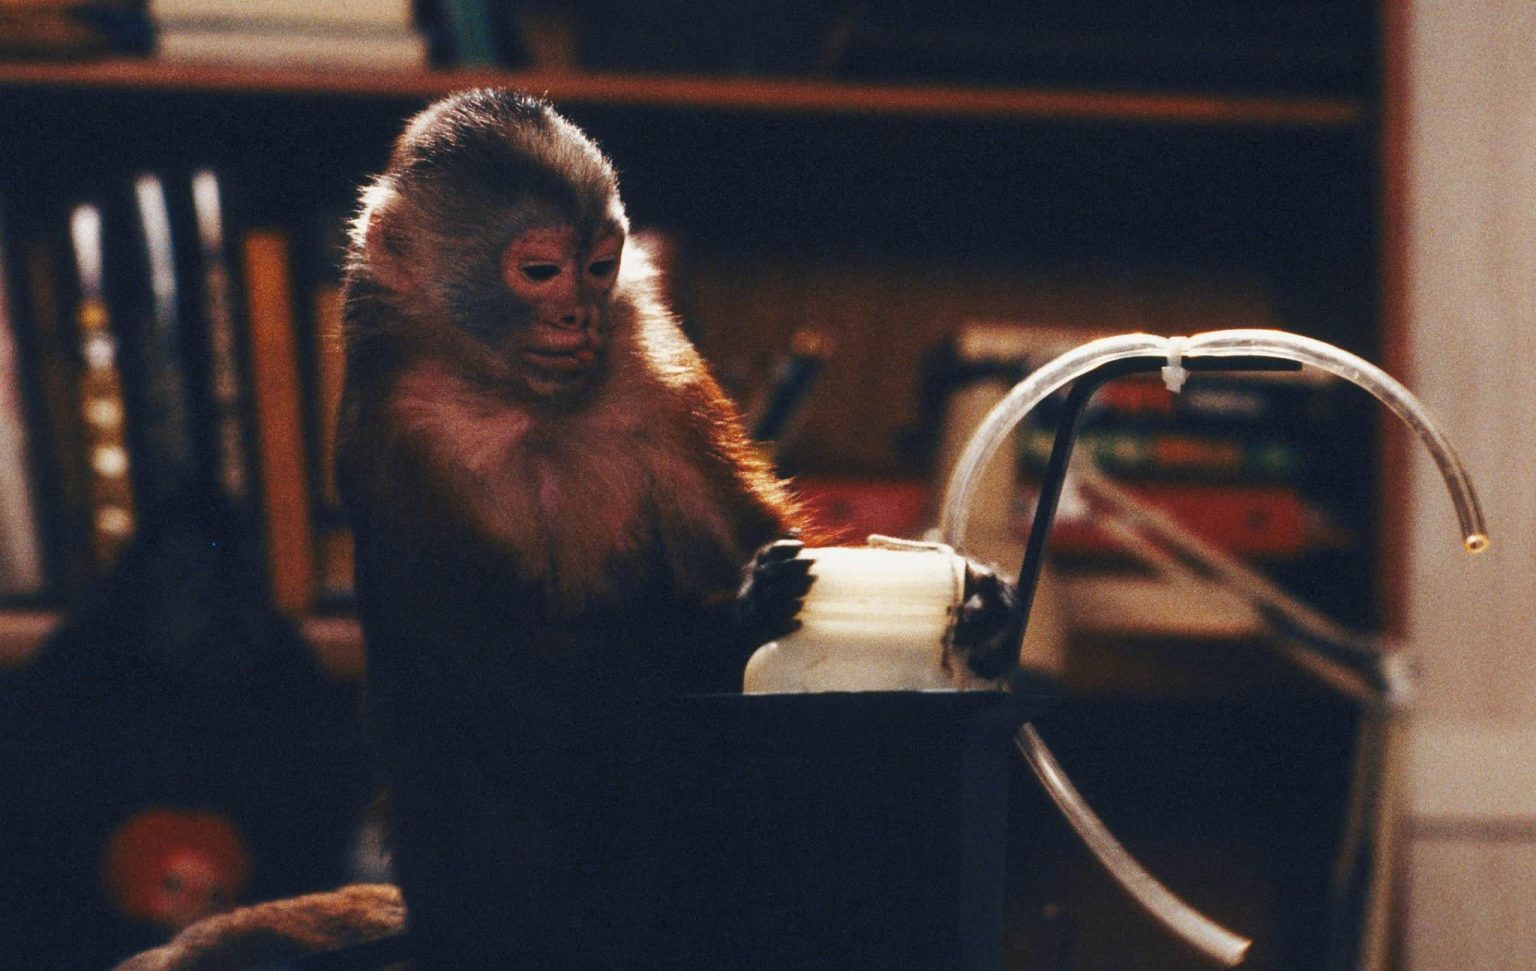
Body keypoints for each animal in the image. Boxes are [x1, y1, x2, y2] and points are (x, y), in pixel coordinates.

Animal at [331, 88, 1023, 968]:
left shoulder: (647, 361)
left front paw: (985, 613)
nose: (576, 314)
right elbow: (508, 677)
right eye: (538, 270)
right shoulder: (396, 435)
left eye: (599, 266)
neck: (512, 397)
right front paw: (737, 621)